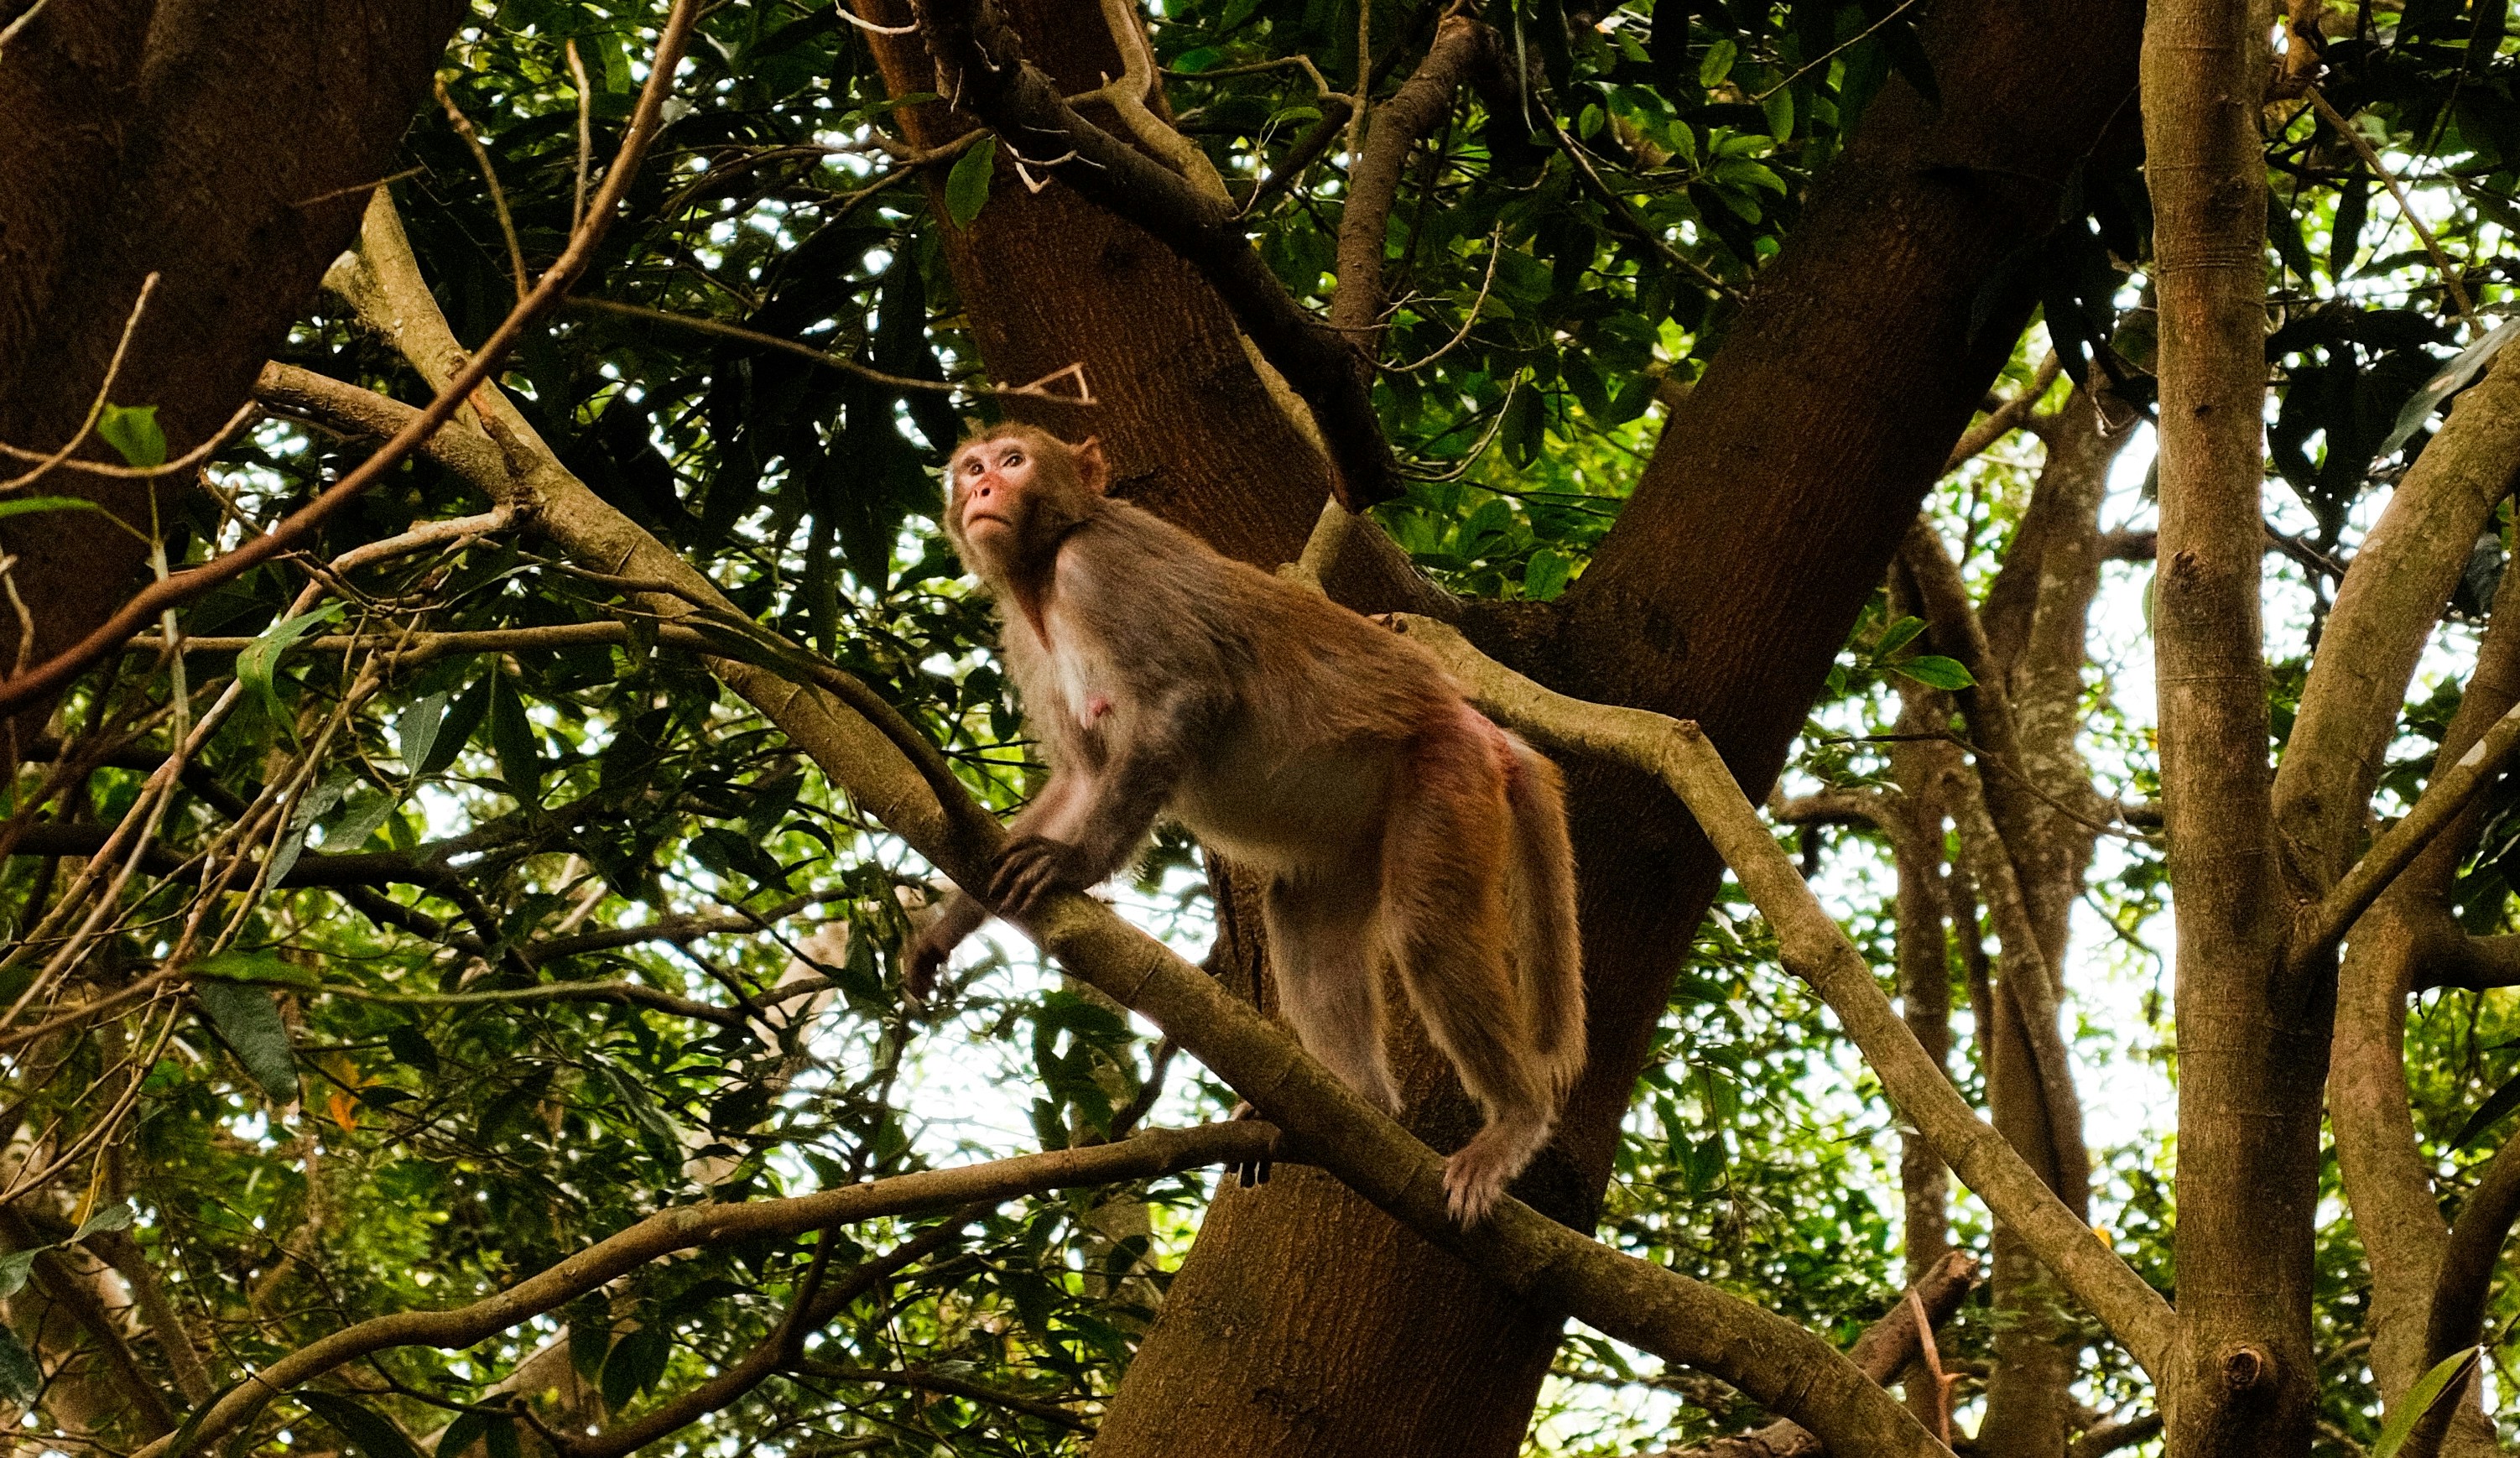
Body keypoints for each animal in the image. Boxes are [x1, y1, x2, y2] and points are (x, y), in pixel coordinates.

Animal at [905, 424, 1584, 1222]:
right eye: (972, 467)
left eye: (1014, 462)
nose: (983, 489)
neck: (1042, 579)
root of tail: (1472, 720)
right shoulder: (1022, 632)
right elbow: (1082, 781)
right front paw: (947, 927)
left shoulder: (1098, 571)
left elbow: (1186, 693)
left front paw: (1075, 865)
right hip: (1358, 833)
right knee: (1301, 918)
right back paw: (1359, 1108)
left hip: (1445, 776)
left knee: (1427, 931)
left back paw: (1514, 1122)